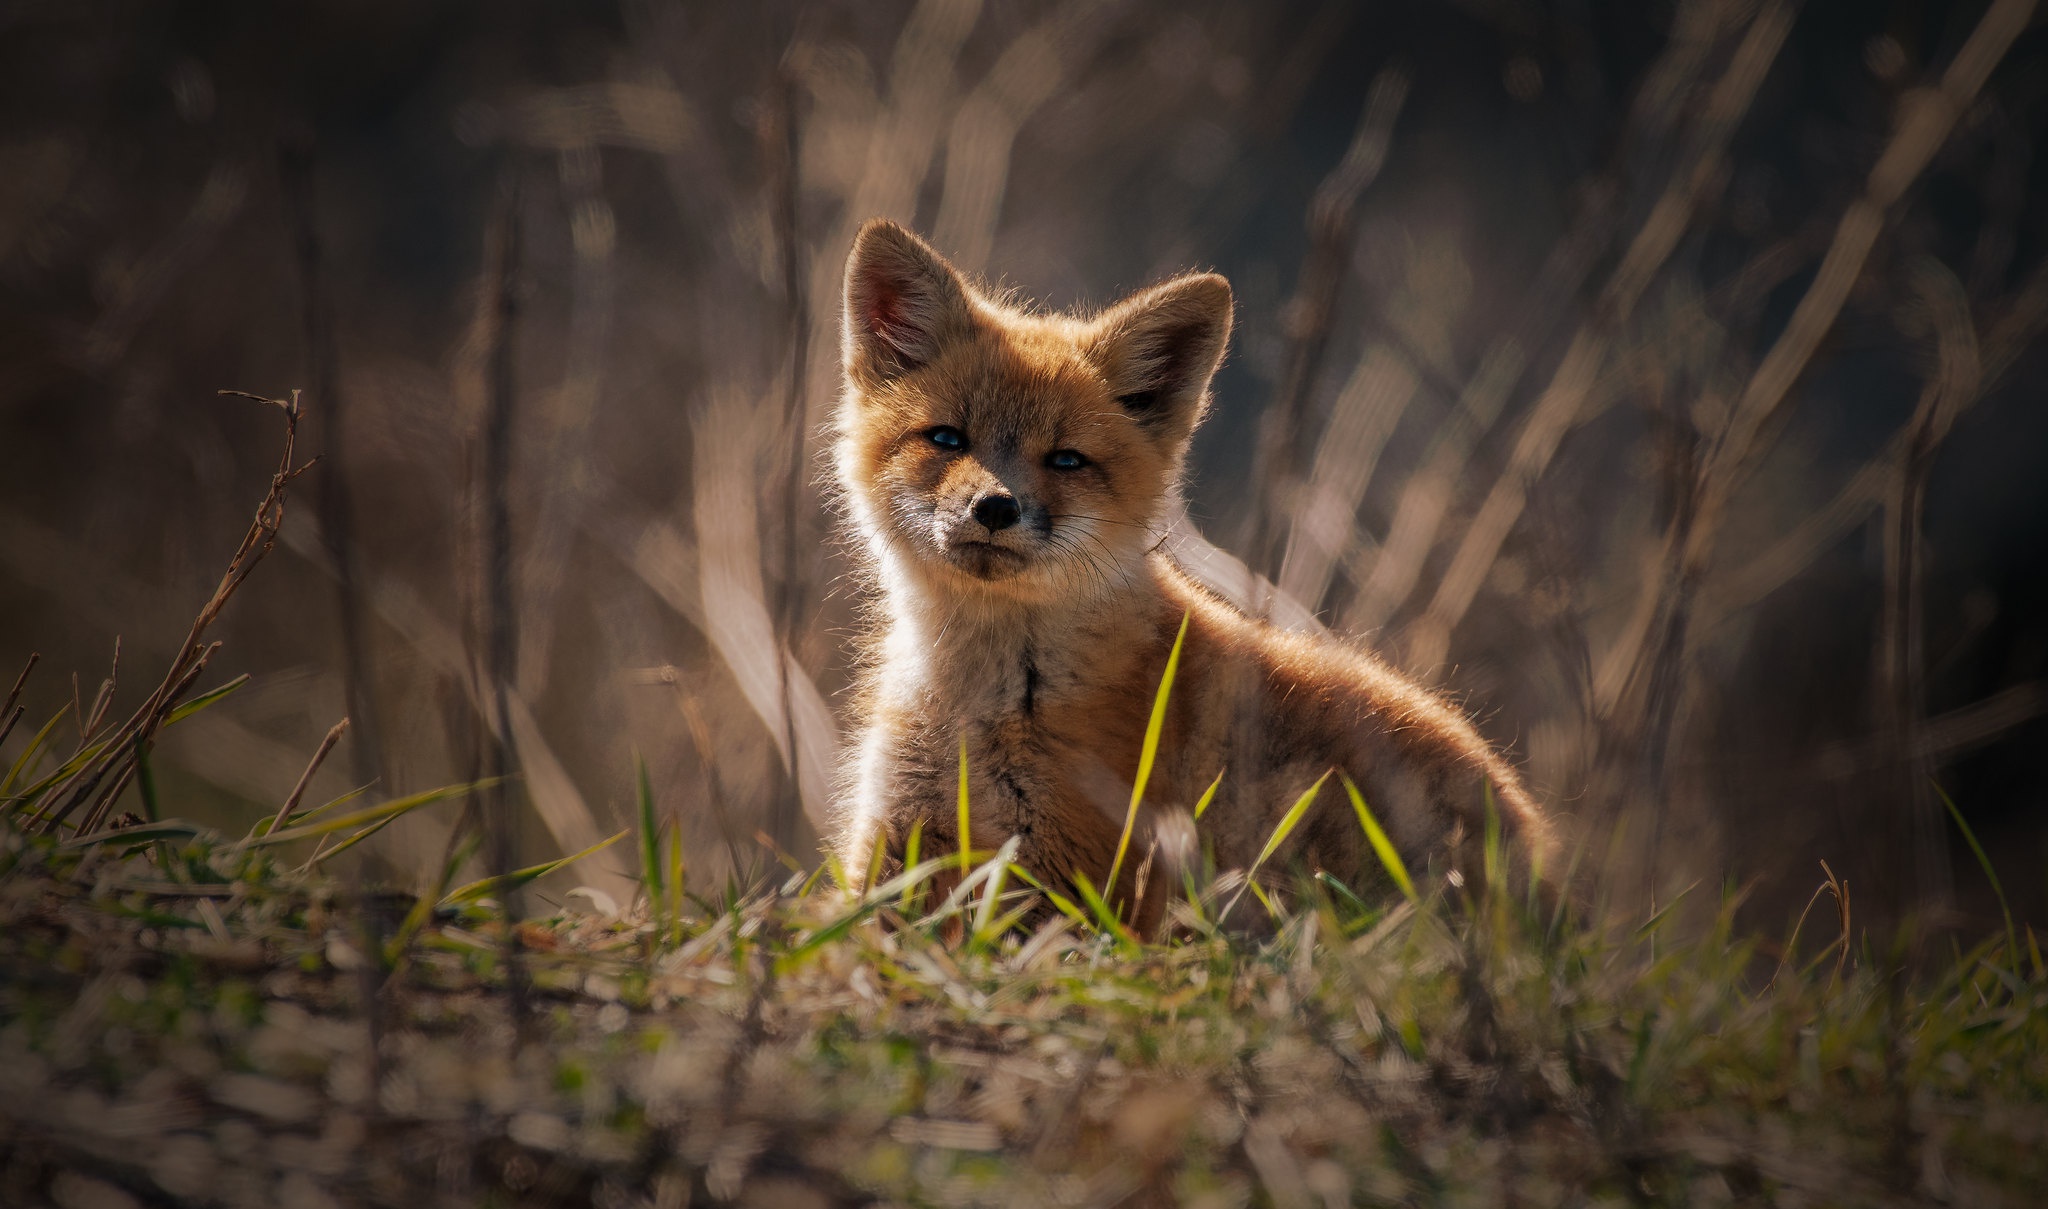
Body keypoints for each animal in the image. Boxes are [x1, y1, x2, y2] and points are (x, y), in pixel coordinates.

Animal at [831, 219, 1553, 932]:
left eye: (1066, 460)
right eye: (947, 439)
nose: (995, 507)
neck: (982, 702)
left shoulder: (1077, 875)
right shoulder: (899, 843)